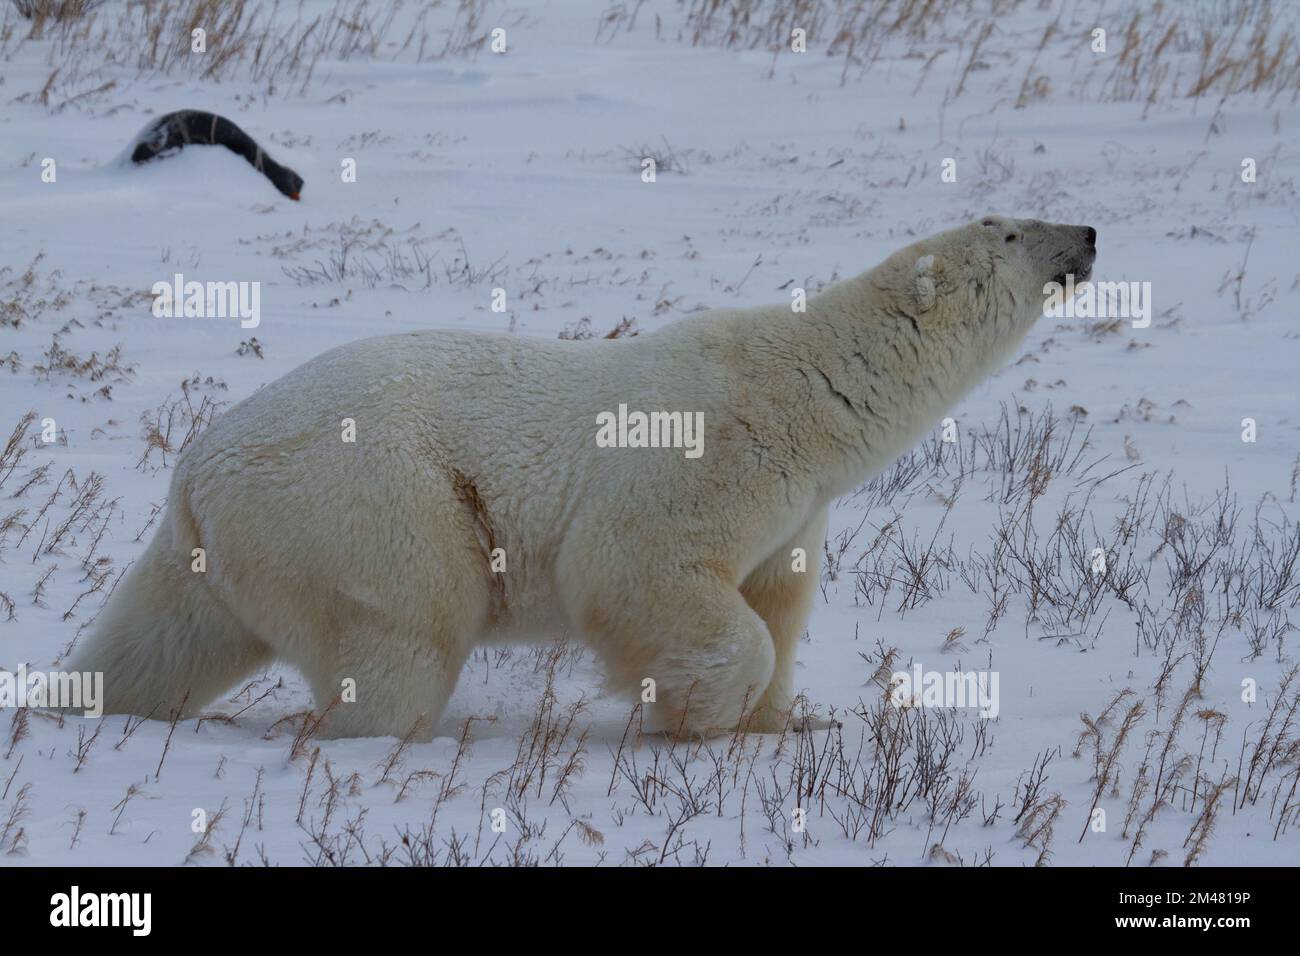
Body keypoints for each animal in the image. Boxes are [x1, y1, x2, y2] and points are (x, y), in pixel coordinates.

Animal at [67, 216, 1096, 739]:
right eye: (1010, 229)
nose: (1086, 231)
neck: (802, 387)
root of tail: (197, 471)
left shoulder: (797, 508)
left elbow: (779, 603)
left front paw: (788, 725)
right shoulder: (713, 450)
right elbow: (637, 570)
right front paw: (696, 712)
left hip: (230, 549)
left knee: (160, 640)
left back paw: (80, 702)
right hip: (366, 504)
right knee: (408, 629)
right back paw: (383, 734)